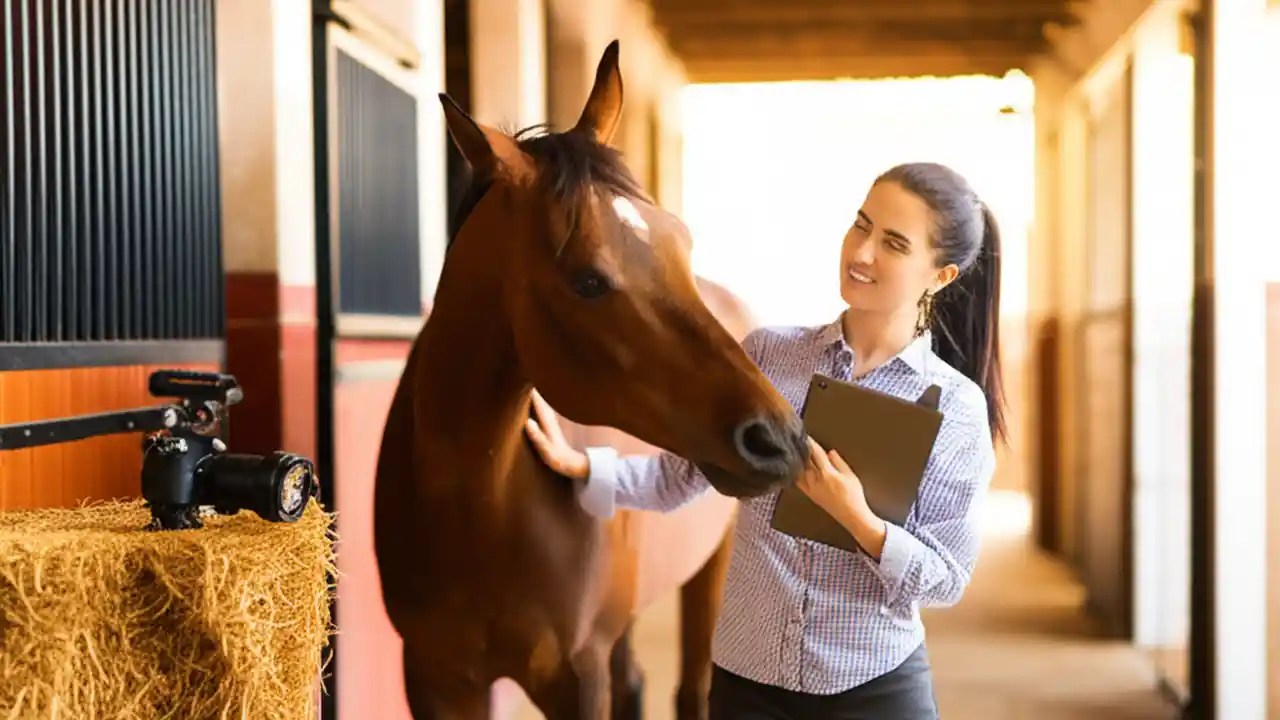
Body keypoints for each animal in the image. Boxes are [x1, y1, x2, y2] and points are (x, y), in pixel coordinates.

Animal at [372, 40, 807, 719]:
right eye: (588, 281)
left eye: (682, 242)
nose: (779, 439)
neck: (476, 507)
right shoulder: (436, 679)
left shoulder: (577, 676)